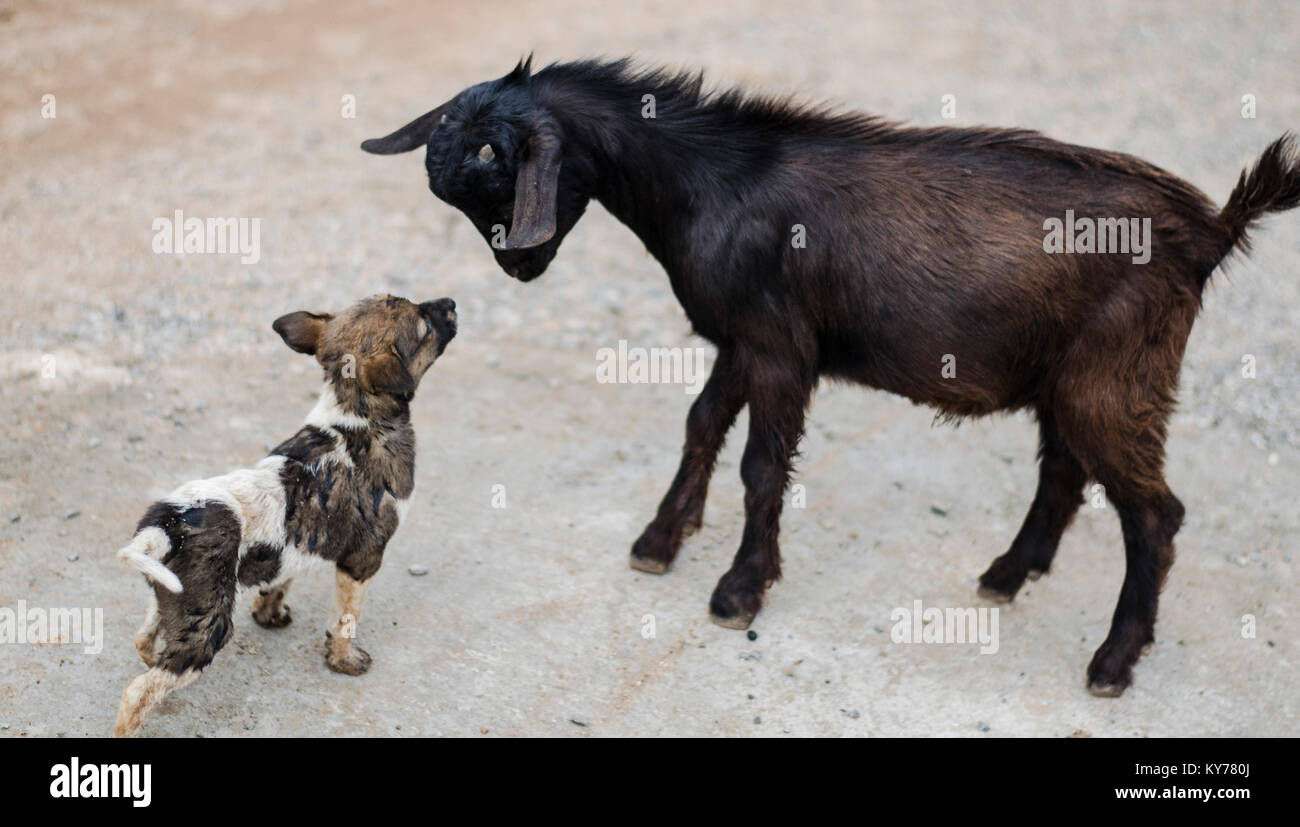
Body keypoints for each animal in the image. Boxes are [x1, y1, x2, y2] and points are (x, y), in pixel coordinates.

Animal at [363, 57, 1300, 696]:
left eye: (498, 176)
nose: (519, 267)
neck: (711, 181)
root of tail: (1210, 231)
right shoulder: (741, 338)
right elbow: (701, 425)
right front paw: (660, 540)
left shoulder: (781, 346)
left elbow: (760, 465)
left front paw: (739, 589)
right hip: (1069, 377)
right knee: (1066, 471)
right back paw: (1008, 572)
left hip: (1117, 378)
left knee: (1155, 514)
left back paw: (1112, 658)